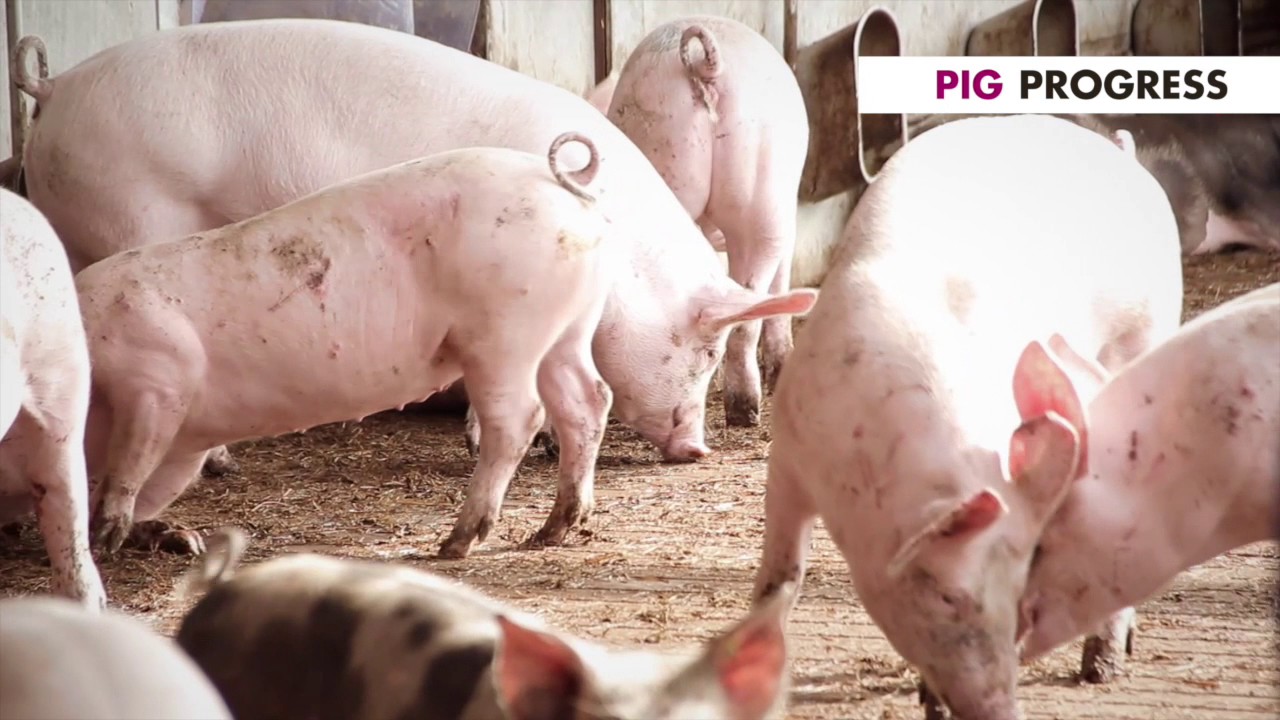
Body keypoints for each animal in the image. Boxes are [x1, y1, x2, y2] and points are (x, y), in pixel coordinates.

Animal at [77, 133, 622, 561]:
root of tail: (562, 184)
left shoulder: (155, 377)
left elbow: (129, 460)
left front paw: (102, 538)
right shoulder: (185, 438)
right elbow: (151, 480)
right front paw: (167, 537)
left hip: (504, 335)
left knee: (520, 419)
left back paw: (455, 543)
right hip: (568, 328)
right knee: (588, 401)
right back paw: (552, 531)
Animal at [749, 114, 1184, 720]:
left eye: (1019, 598)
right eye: (947, 594)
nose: (1002, 708)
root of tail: (1120, 154)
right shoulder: (788, 454)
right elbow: (780, 578)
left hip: (1150, 329)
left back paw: (1100, 669)